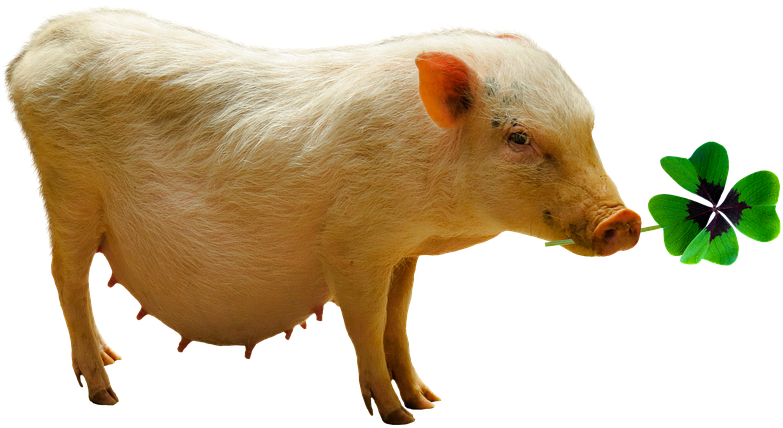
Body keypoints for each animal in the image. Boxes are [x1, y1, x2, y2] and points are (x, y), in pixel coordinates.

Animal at [4, 5, 641, 424]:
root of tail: (36, 44)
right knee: (65, 275)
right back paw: (105, 391)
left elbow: (396, 320)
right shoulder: (354, 241)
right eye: (519, 138)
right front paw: (398, 417)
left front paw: (429, 402)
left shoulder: (403, 248)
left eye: (588, 126)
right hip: (67, 187)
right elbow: (364, 323)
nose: (623, 221)